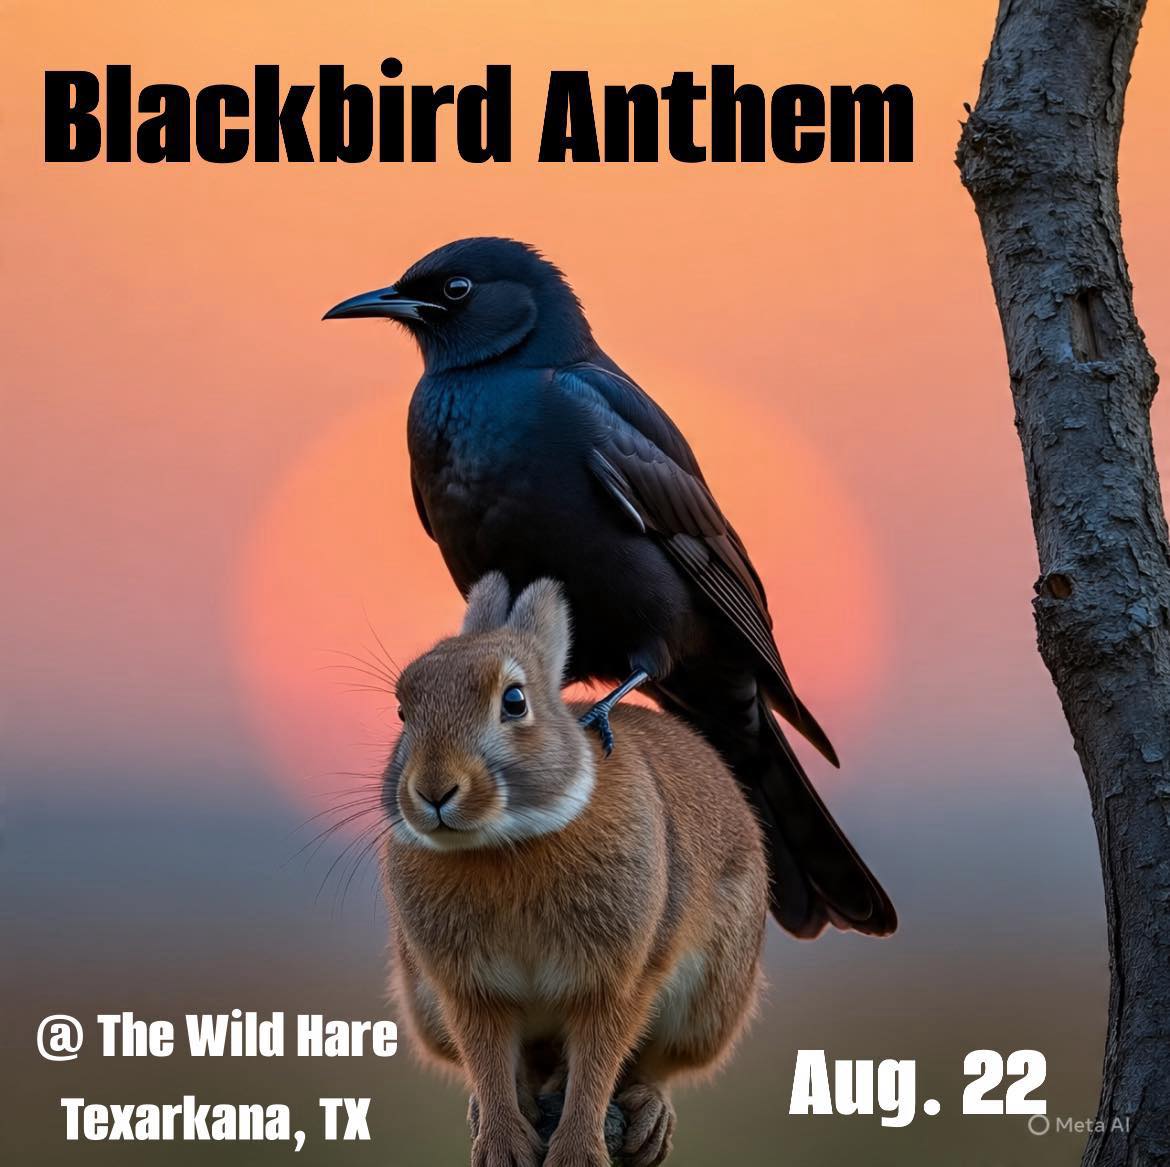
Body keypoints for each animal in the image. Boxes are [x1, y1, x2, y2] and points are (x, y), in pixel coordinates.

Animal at [381, 572, 767, 1167]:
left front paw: (578, 1154)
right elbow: (489, 1061)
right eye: (403, 712)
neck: (505, 842)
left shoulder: (615, 979)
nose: (433, 790)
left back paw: (649, 1119)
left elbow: (597, 1064)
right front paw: (501, 1148)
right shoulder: (469, 990)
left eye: (514, 701)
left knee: (655, 1065)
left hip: (711, 998)